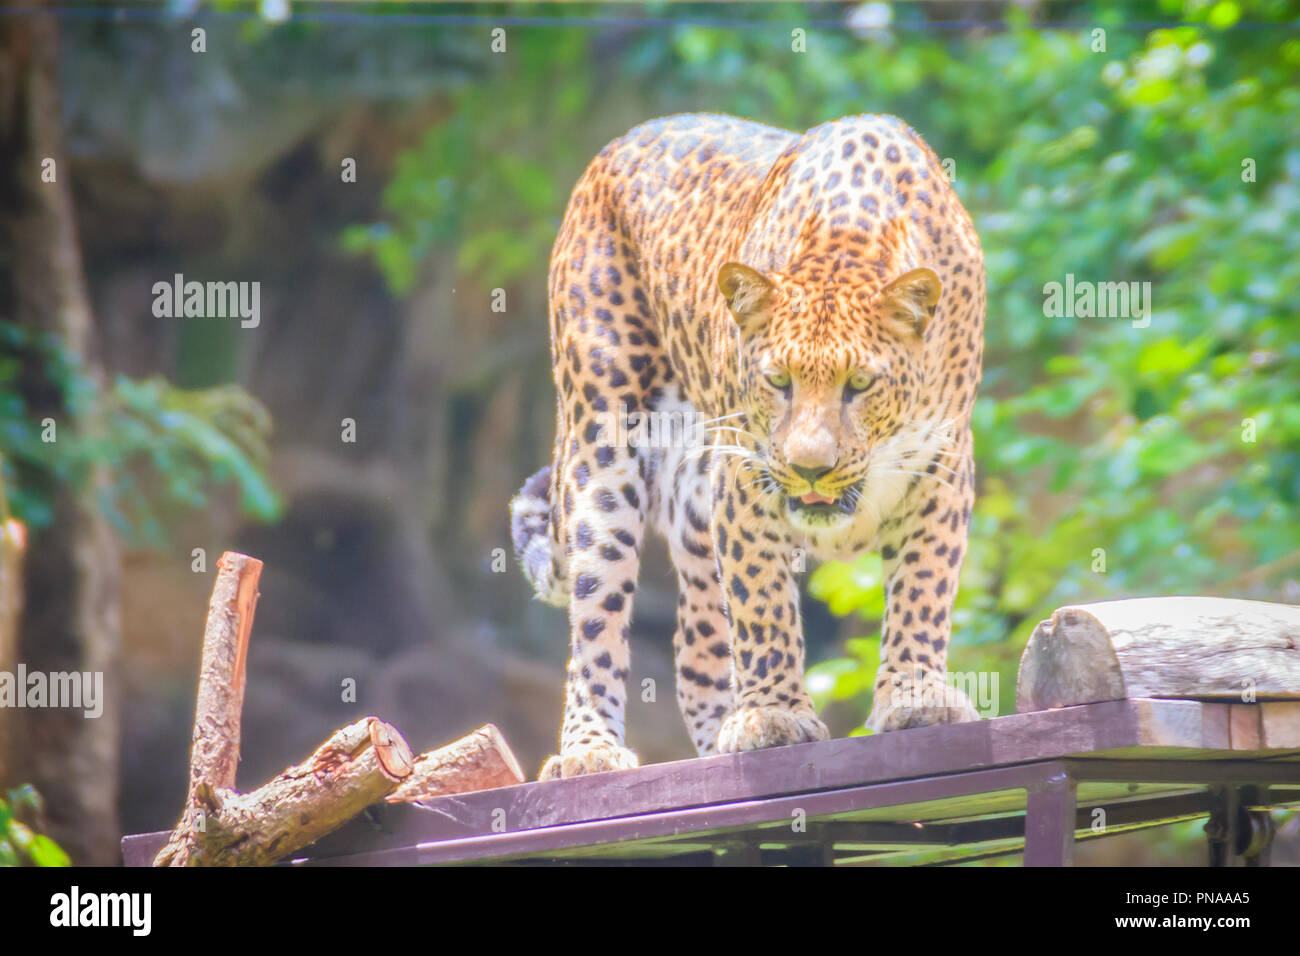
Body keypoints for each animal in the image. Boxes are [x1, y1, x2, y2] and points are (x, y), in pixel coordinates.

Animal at [510, 112, 986, 780]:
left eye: (860, 385)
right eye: (778, 381)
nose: (811, 469)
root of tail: (617, 145)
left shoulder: (943, 465)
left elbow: (924, 586)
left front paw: (917, 697)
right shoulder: (743, 476)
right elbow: (763, 604)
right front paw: (773, 717)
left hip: (691, 505)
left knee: (695, 647)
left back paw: (714, 740)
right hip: (600, 443)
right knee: (596, 618)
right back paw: (590, 750)